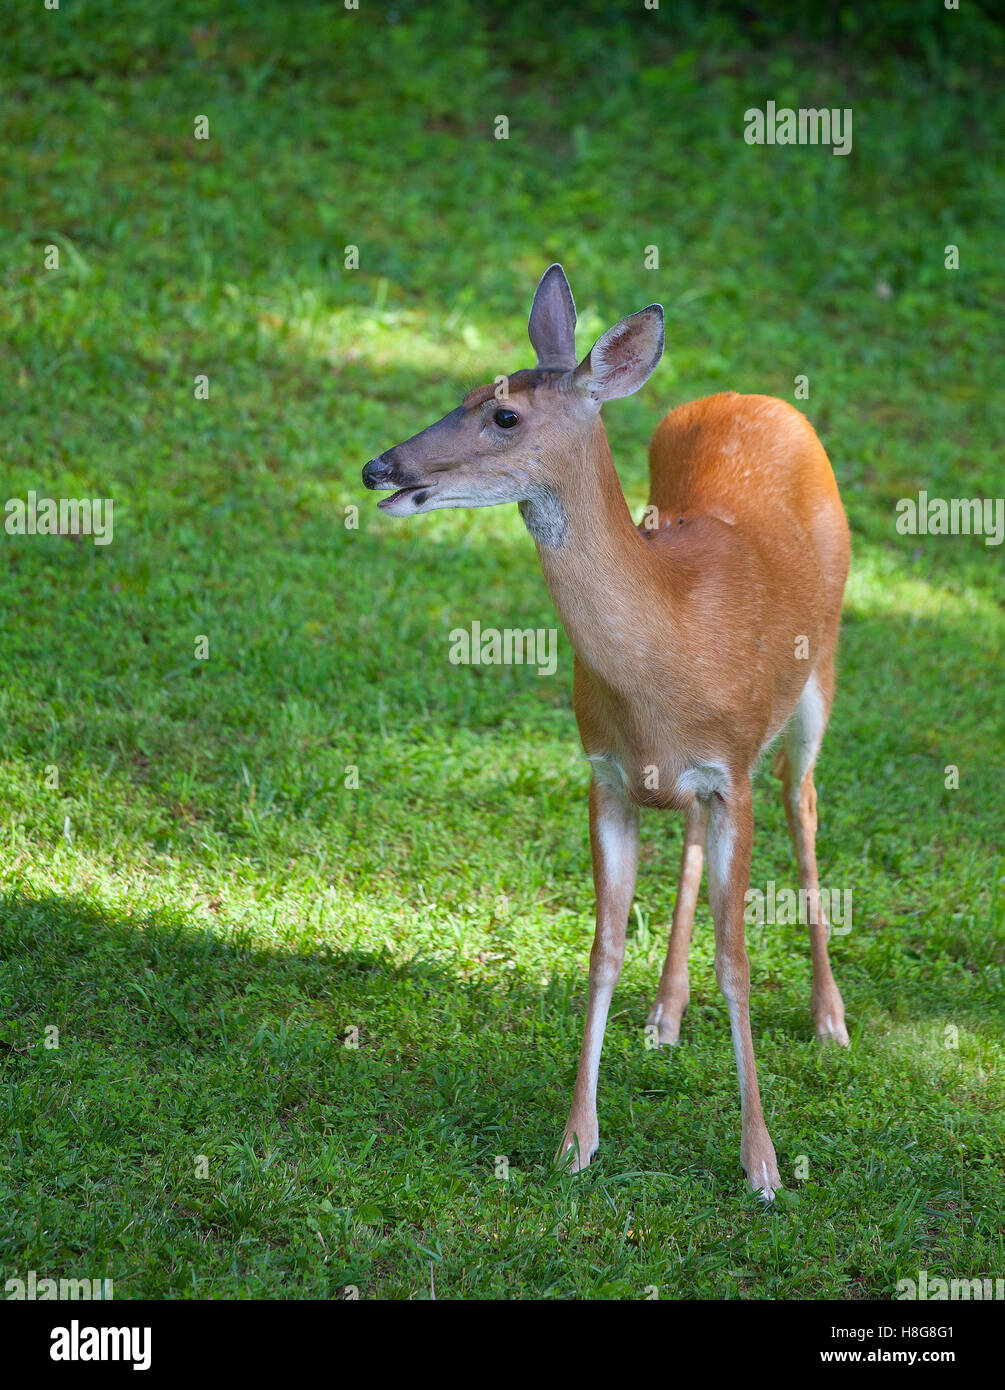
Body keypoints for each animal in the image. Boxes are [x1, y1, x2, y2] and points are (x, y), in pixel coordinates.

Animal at [362, 265, 850, 1199]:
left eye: (503, 415)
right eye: (465, 393)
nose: (379, 465)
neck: (671, 640)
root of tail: (757, 397)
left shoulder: (731, 769)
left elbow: (738, 958)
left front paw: (761, 1164)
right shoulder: (606, 775)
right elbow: (601, 947)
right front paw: (574, 1141)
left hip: (819, 676)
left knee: (803, 804)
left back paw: (828, 1018)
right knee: (694, 833)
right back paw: (664, 1014)